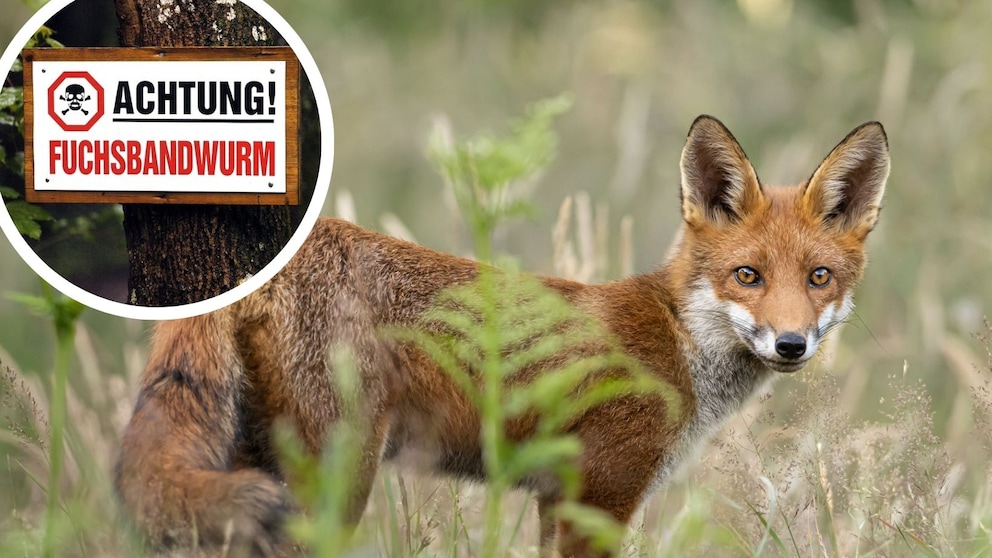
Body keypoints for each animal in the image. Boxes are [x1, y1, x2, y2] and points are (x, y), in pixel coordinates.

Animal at [114, 115, 889, 557]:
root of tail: (260, 270)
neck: (676, 344)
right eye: (747, 275)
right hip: (337, 479)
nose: (791, 345)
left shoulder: (555, 500)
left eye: (818, 277)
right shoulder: (599, 498)